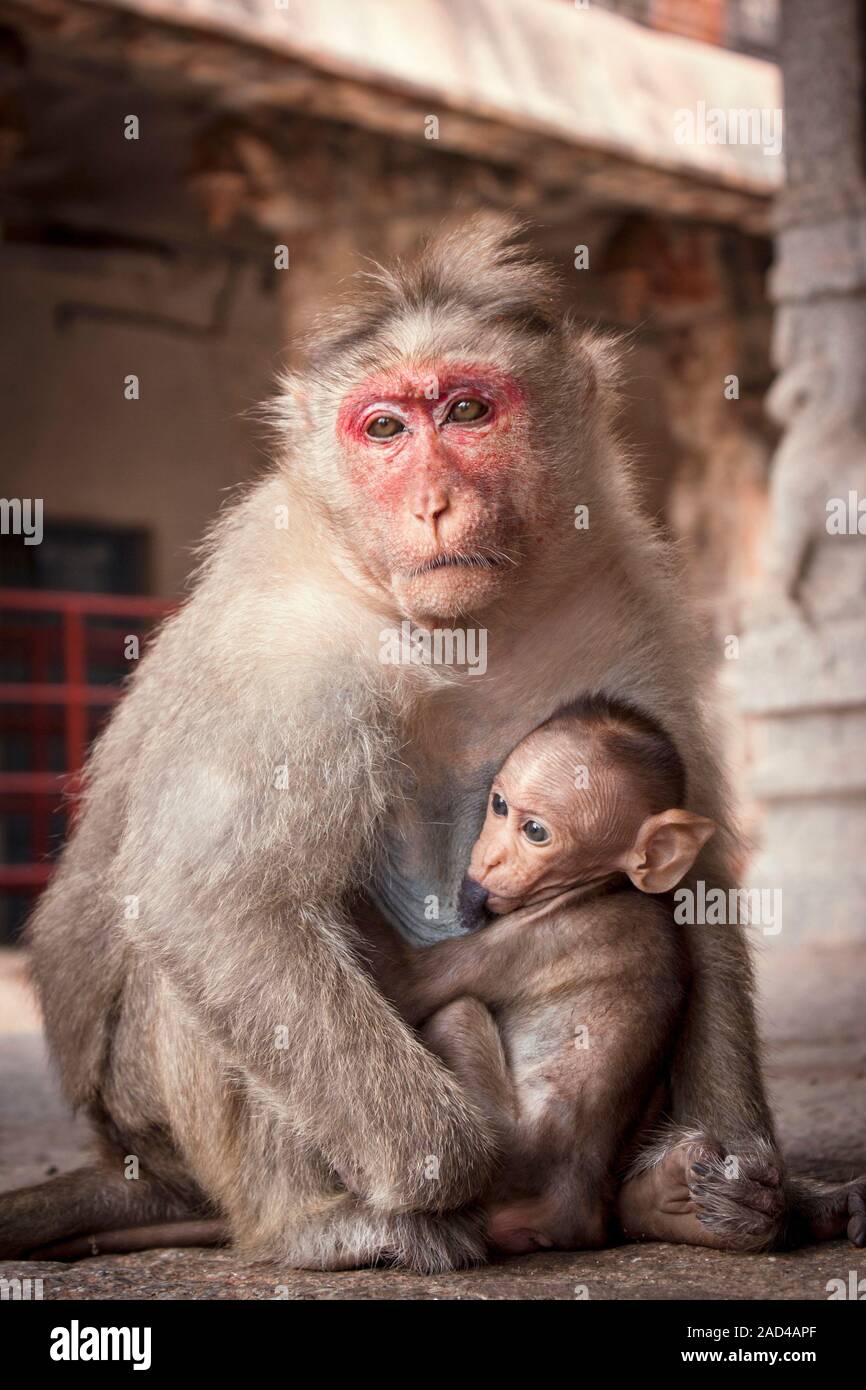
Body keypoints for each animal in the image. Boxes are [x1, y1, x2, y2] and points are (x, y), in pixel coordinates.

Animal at [1, 215, 864, 1268]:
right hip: (149, 1117)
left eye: (465, 411)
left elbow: (689, 876)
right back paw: (322, 1225)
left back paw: (662, 1197)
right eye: (384, 430)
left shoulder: (622, 601)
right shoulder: (288, 647)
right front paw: (450, 1166)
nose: (434, 503)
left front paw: (740, 1186)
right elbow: (216, 905)